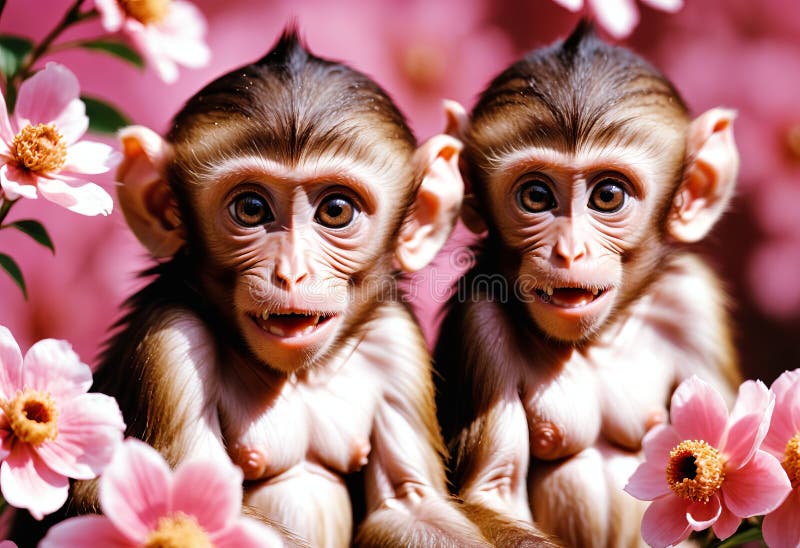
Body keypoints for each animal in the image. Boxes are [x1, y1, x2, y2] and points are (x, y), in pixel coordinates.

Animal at [10, 29, 490, 548]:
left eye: (336, 210)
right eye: (251, 209)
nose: (291, 272)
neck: (297, 378)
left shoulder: (396, 341)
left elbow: (413, 507)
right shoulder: (170, 342)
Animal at [433, 21, 742, 548]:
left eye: (608, 195)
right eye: (536, 196)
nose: (570, 250)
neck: (593, 341)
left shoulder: (691, 302)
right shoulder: (480, 324)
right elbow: (490, 492)